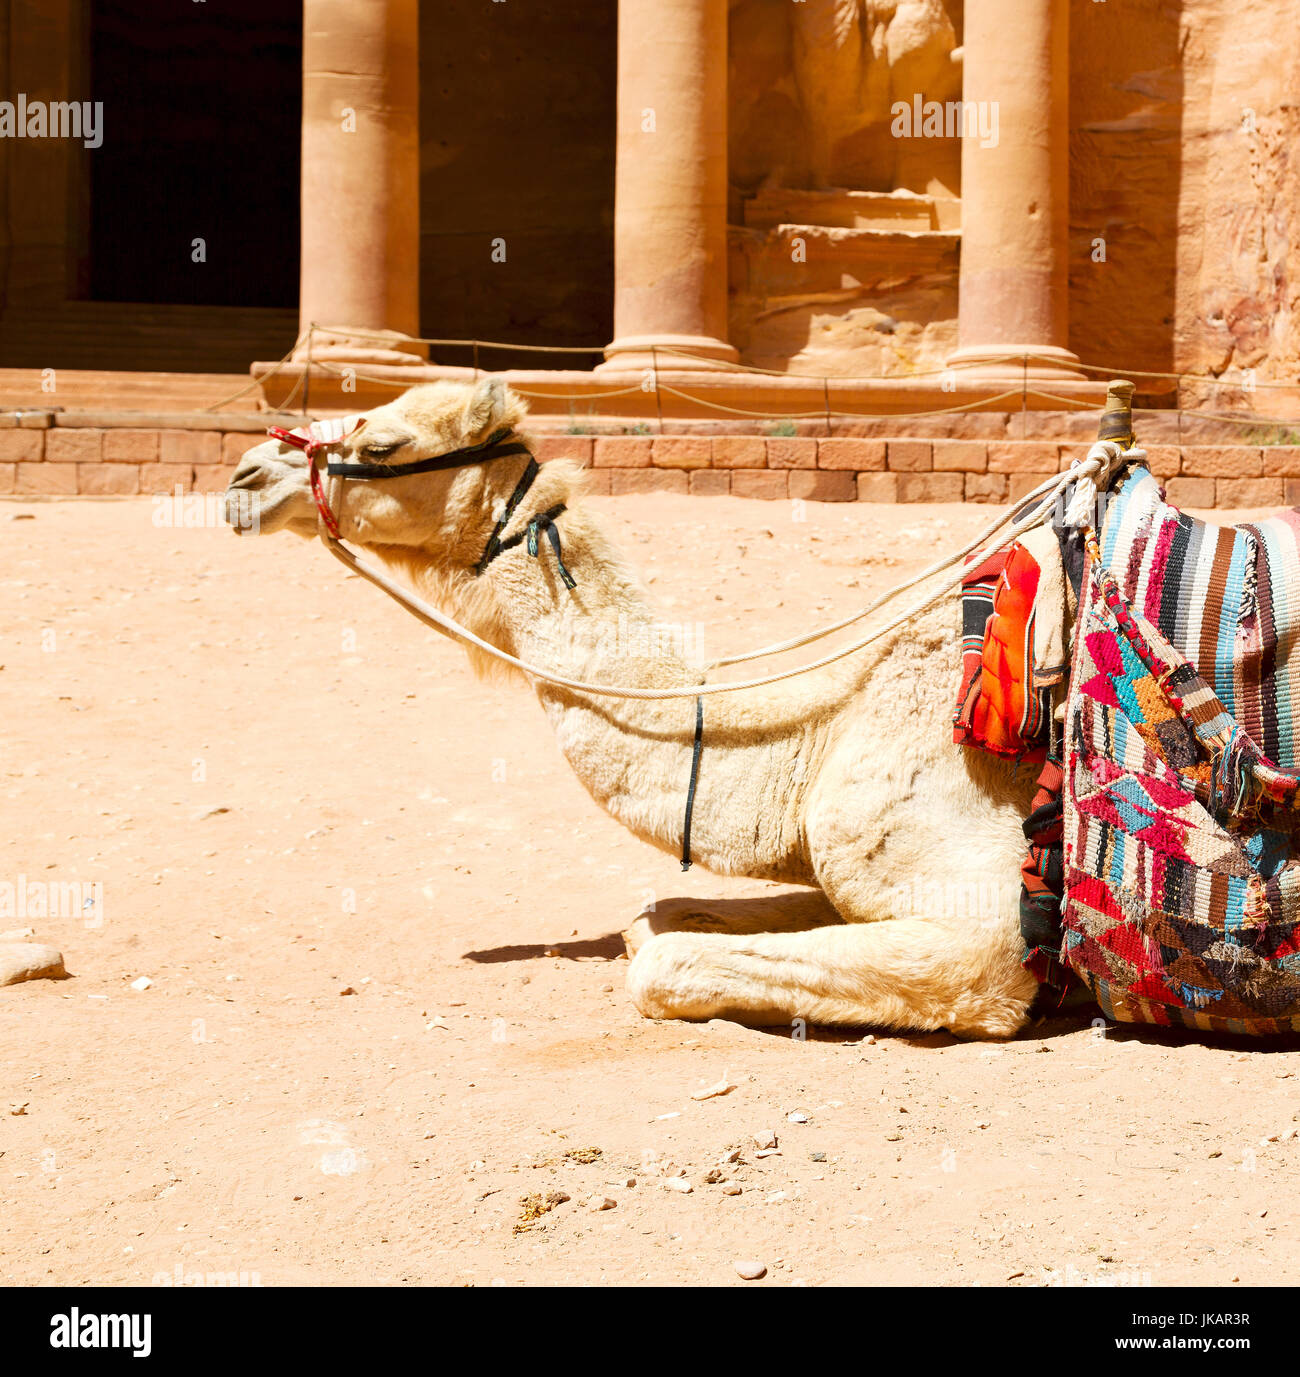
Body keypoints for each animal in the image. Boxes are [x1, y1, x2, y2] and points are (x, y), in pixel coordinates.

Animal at [225, 378, 1041, 1038]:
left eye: (382, 442)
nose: (243, 479)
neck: (818, 734)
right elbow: (656, 918)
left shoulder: (985, 934)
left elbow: (661, 961)